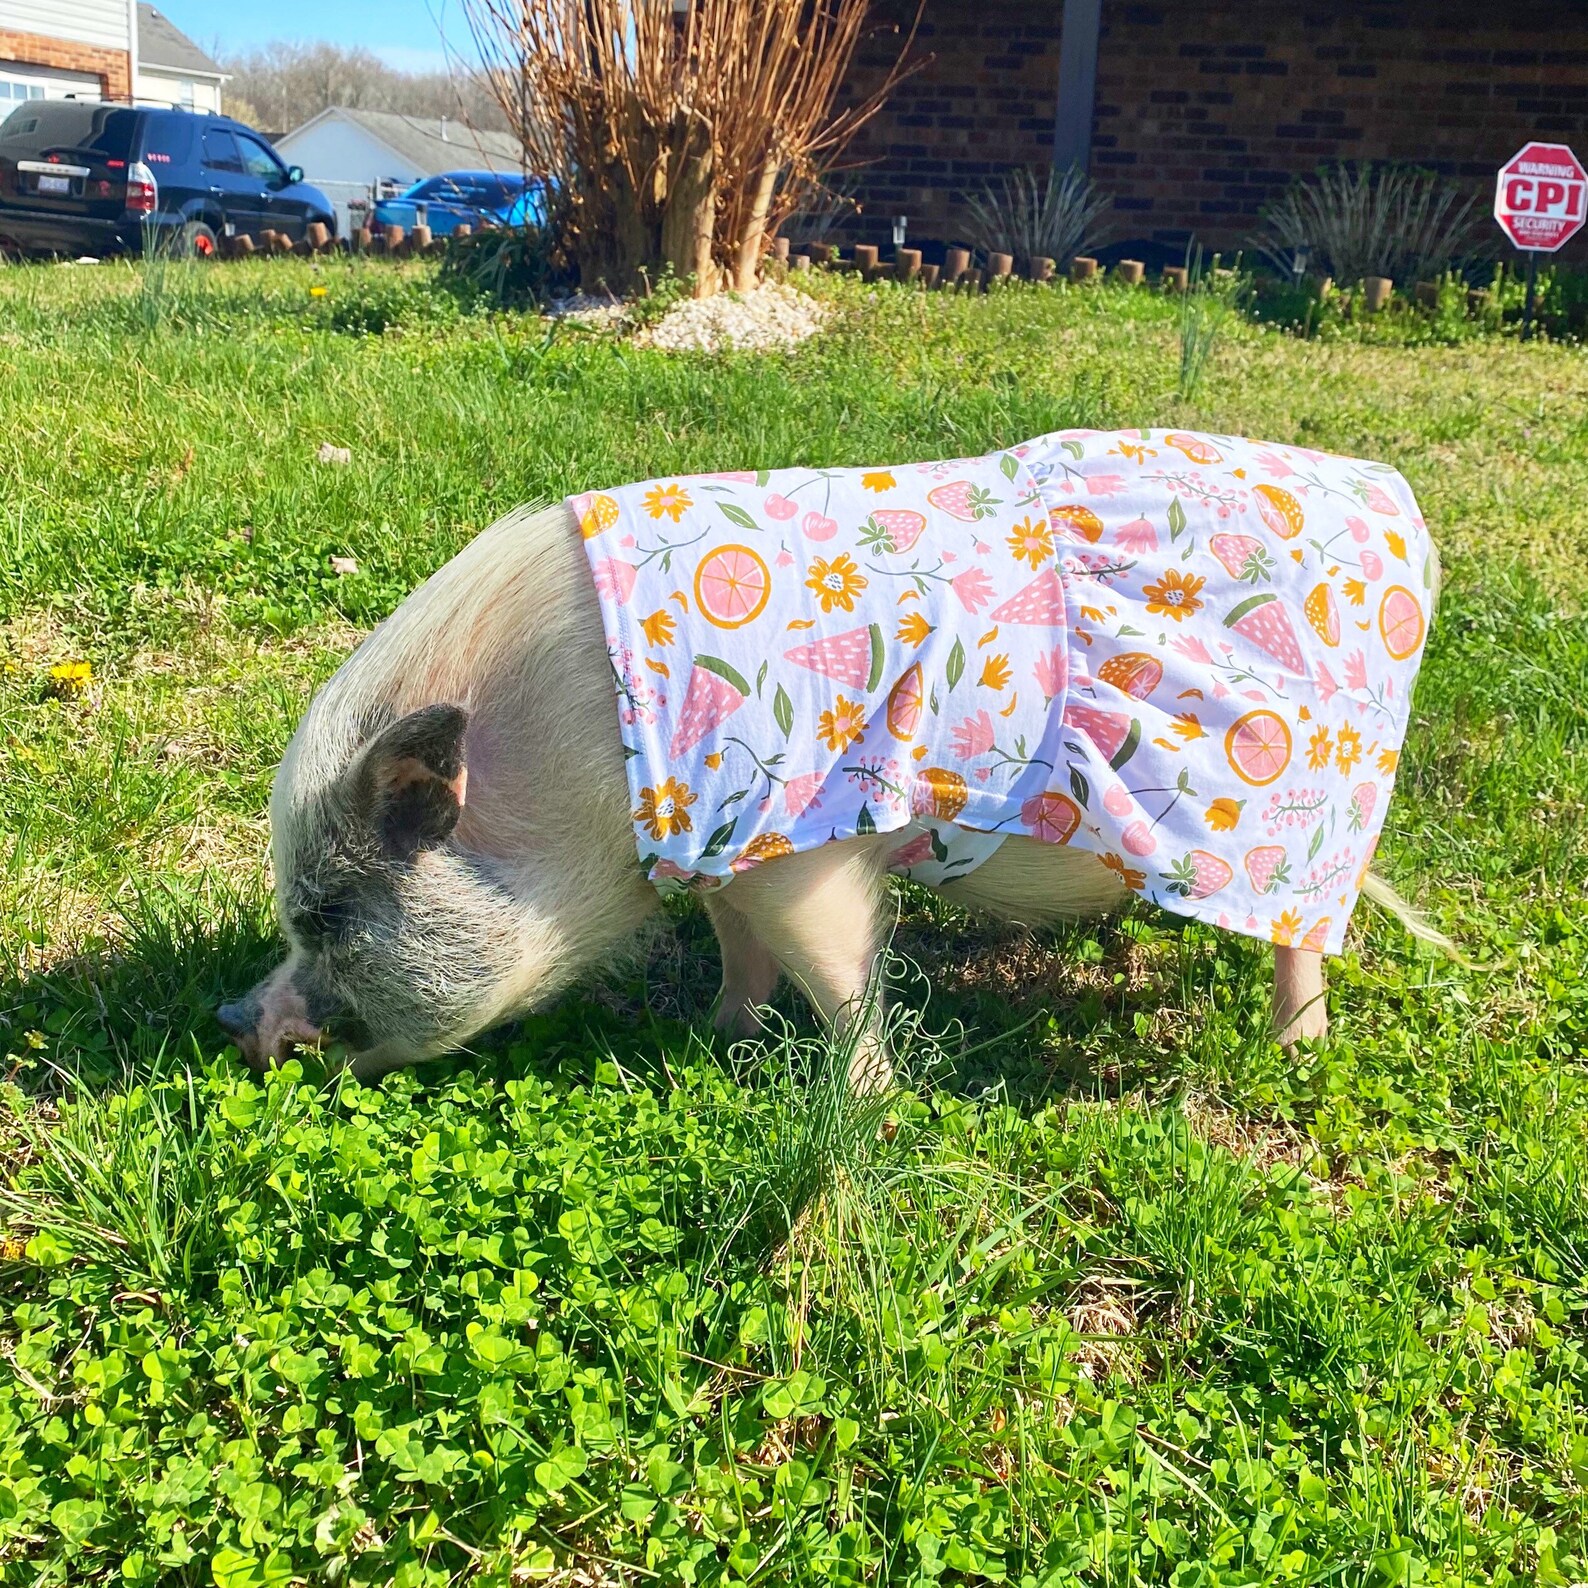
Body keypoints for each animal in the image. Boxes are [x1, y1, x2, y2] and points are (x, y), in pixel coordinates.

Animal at [219, 500, 1431, 1086]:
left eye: (327, 913)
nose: (235, 1020)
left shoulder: (804, 853)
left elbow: (837, 967)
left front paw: (867, 1103)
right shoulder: (714, 857)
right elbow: (739, 952)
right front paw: (716, 1032)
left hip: (1307, 806)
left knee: (1304, 934)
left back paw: (1296, 1052)